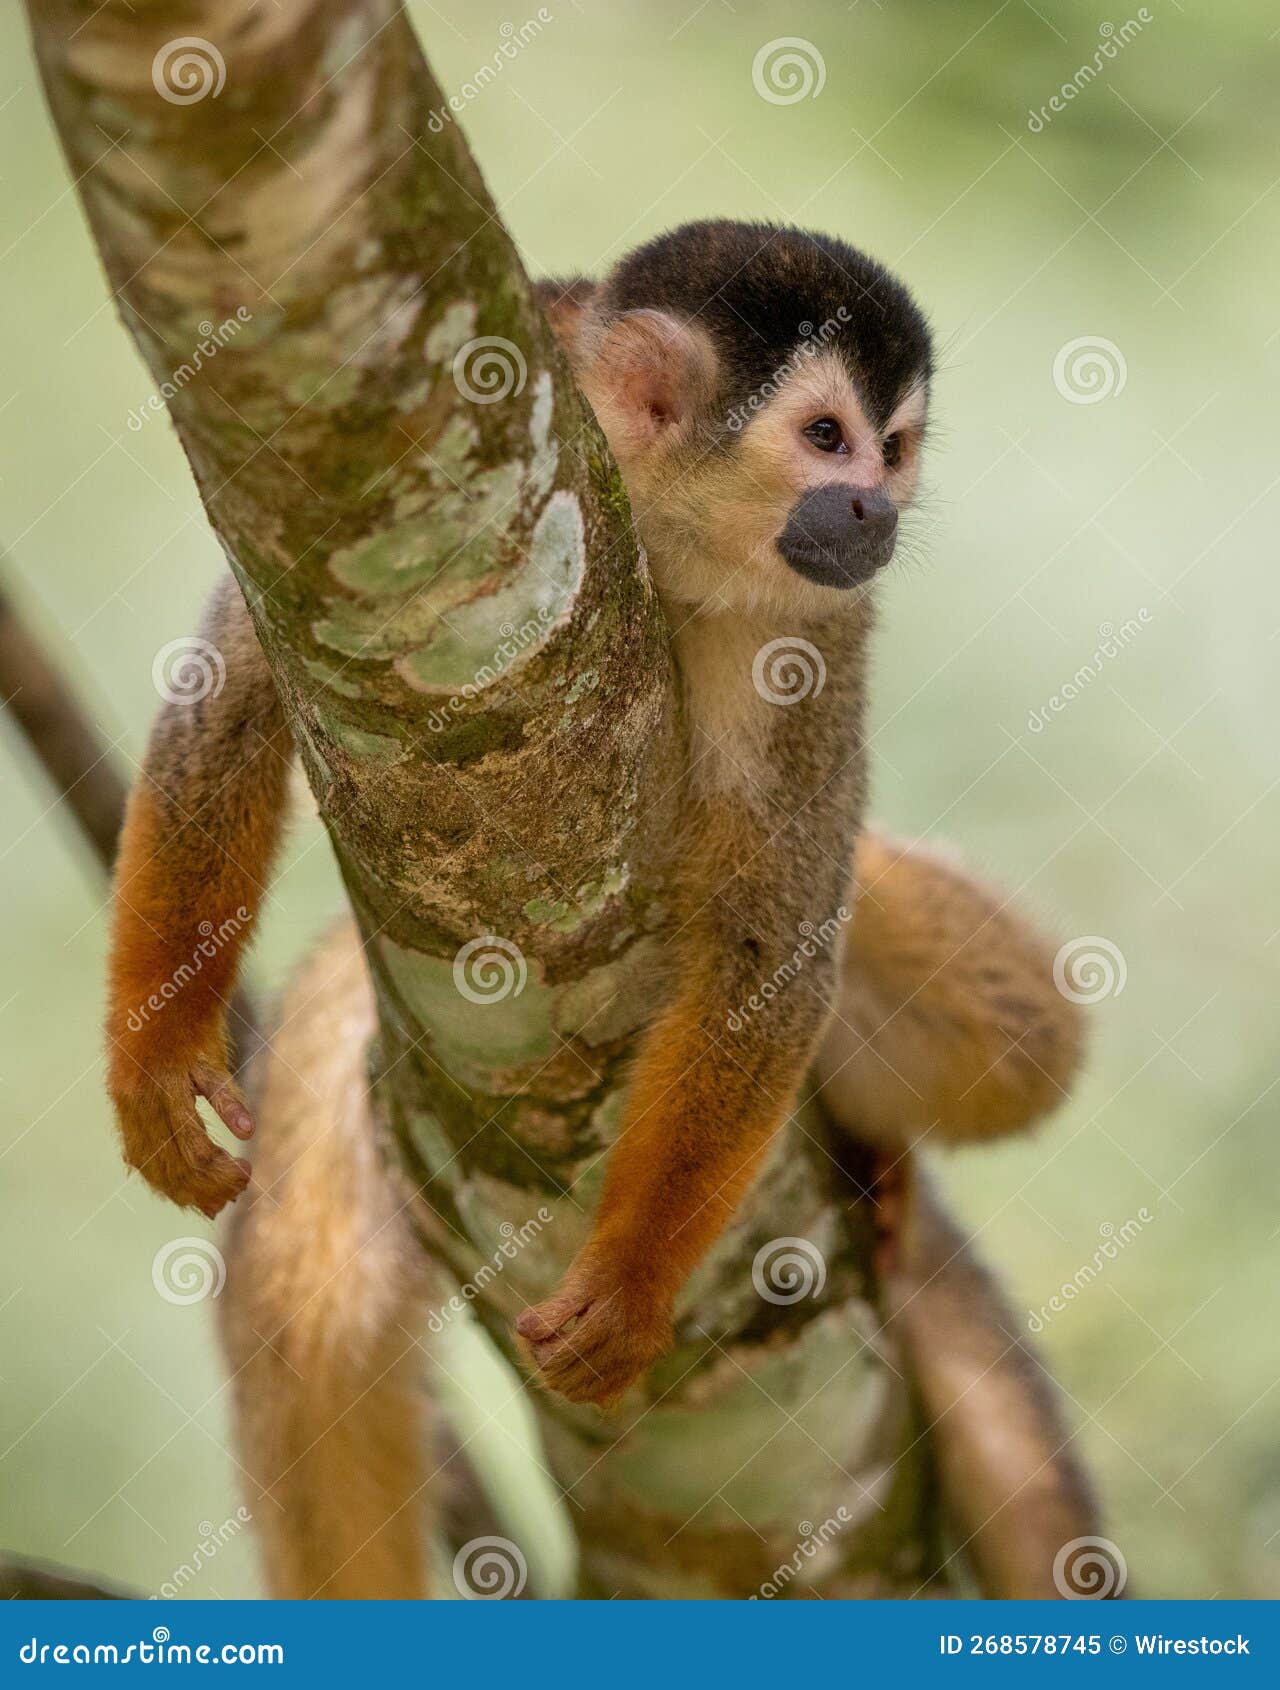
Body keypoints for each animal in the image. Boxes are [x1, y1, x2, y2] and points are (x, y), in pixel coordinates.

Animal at [104, 220, 1089, 1589]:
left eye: (892, 448)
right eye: (826, 437)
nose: (877, 508)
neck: (653, 521)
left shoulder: (815, 621)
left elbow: (774, 935)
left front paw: (630, 1276)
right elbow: (232, 707)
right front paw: (156, 1049)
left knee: (1017, 1032)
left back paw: (871, 1161)